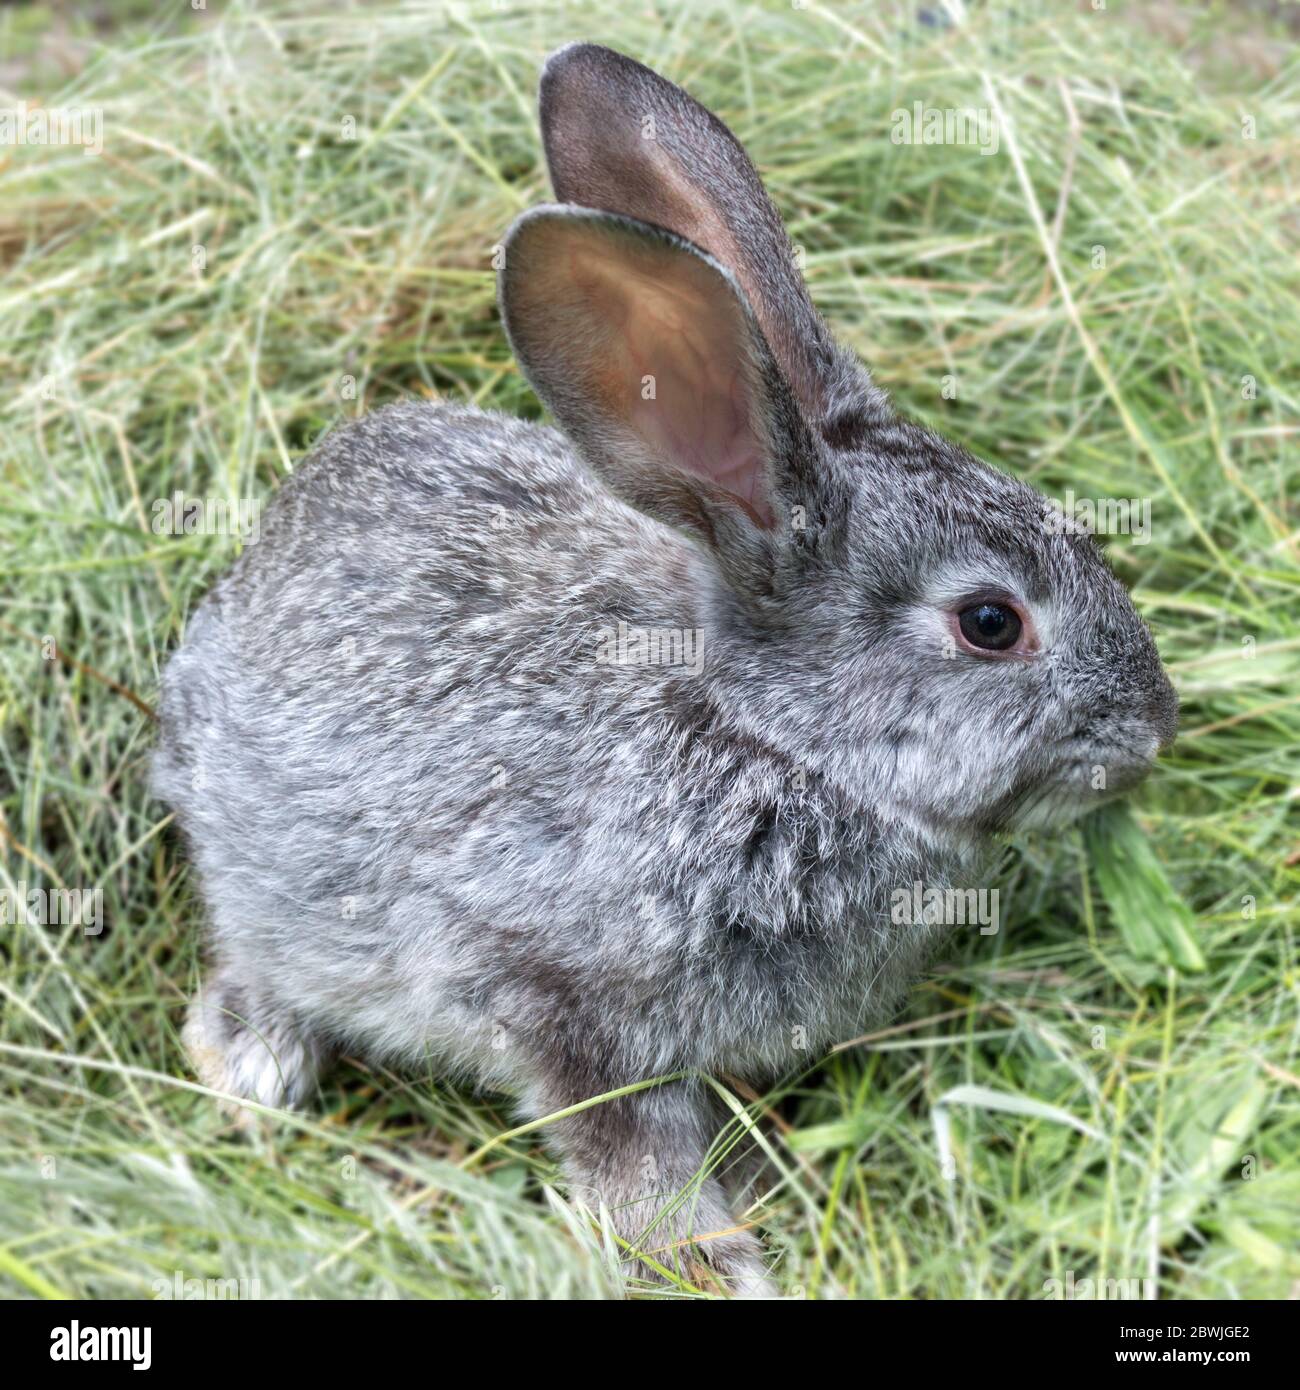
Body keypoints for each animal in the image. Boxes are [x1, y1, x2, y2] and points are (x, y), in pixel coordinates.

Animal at [153, 42, 1179, 1298]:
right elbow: (628, 1146)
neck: (771, 737)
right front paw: (711, 1258)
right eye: (990, 621)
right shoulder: (551, 999)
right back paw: (254, 1063)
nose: (1154, 726)